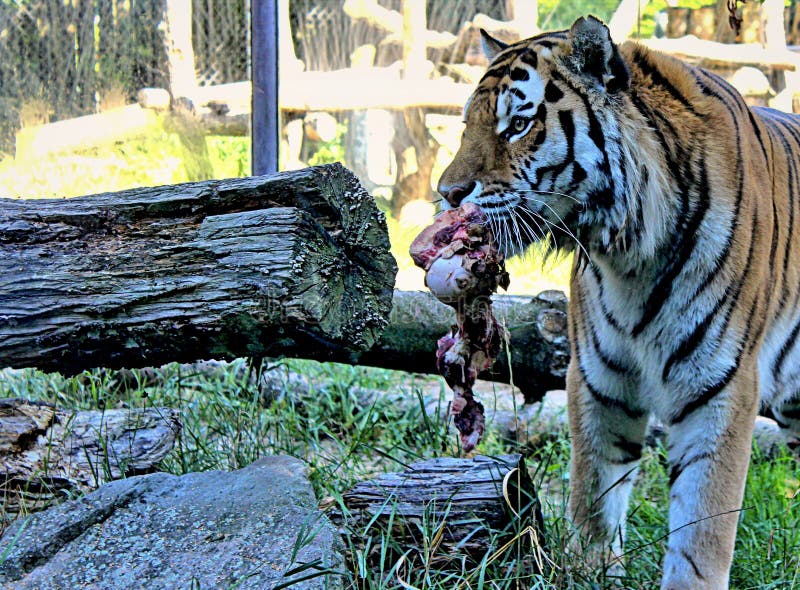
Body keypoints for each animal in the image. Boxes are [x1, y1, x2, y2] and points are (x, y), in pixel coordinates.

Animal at [437, 15, 800, 590]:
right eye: (466, 124)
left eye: (517, 124)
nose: (447, 193)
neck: (629, 253)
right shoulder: (599, 376)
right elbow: (594, 489)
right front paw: (592, 568)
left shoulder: (720, 385)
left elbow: (703, 520)